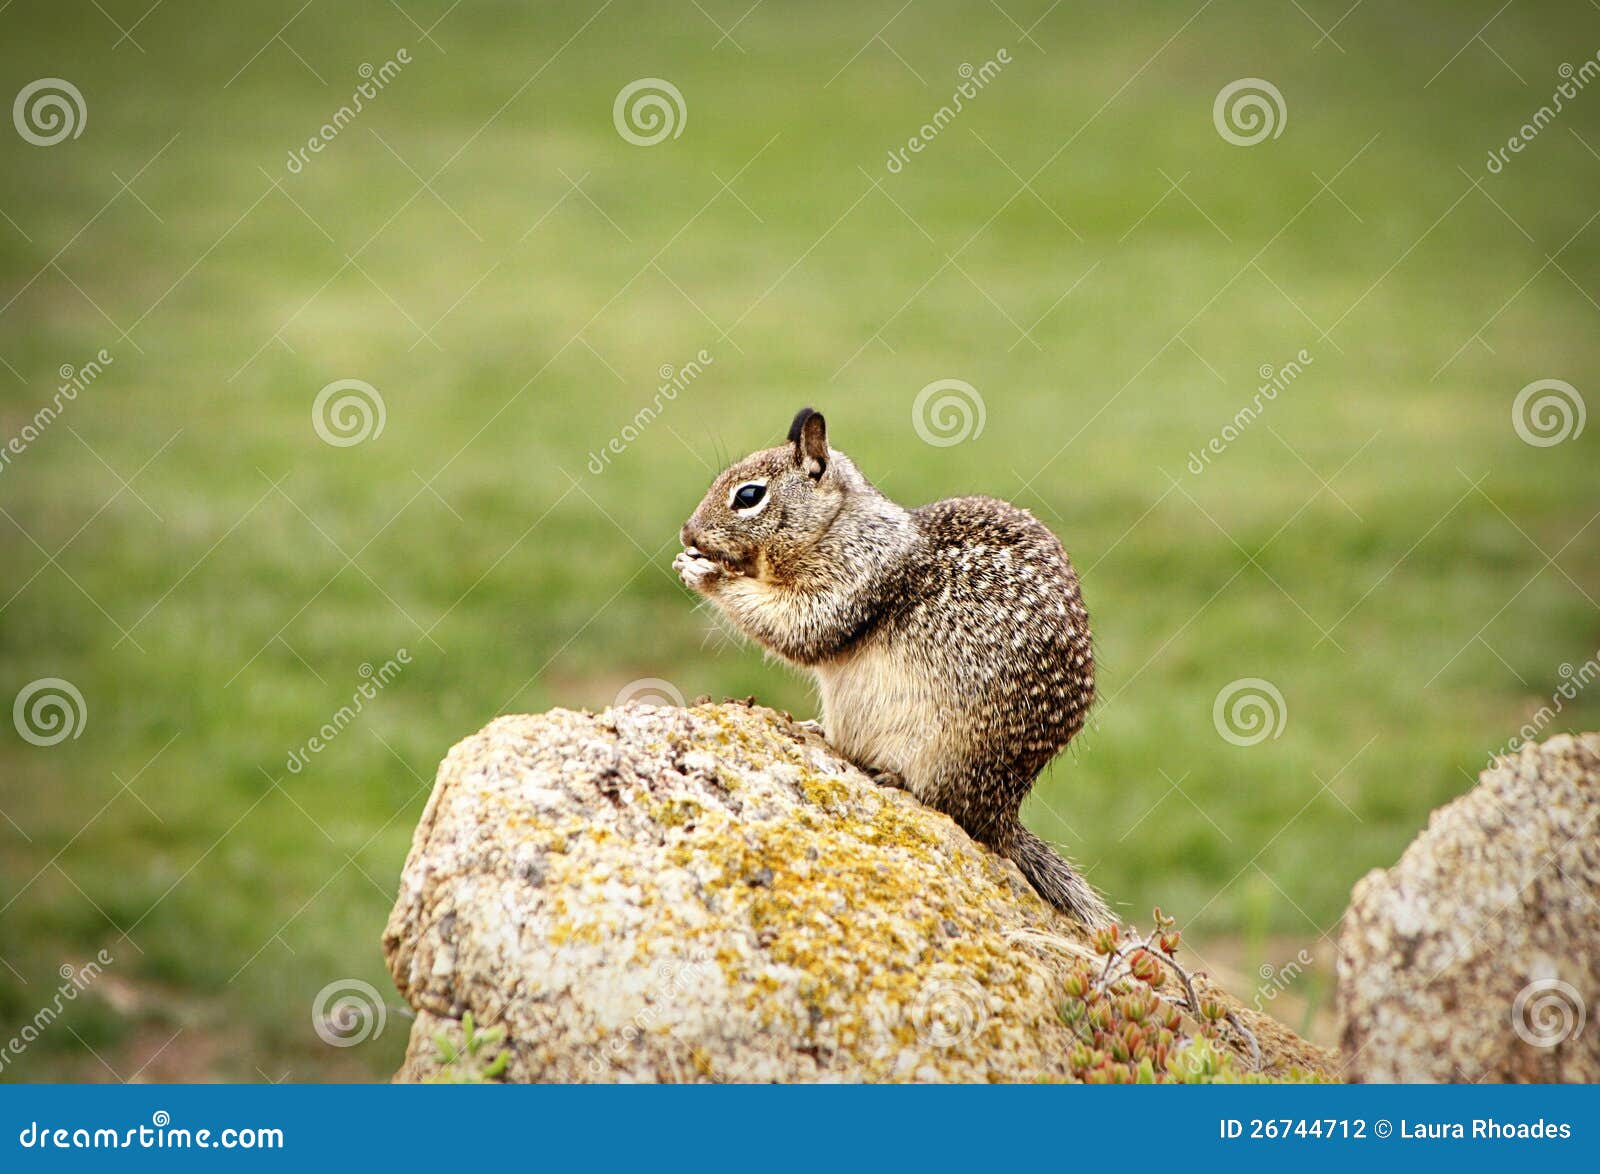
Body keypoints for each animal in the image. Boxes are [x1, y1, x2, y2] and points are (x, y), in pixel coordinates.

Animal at [672, 407, 1110, 926]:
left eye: (749, 496)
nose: (687, 534)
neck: (836, 525)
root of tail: (1002, 815)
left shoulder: (852, 576)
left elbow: (797, 626)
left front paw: (706, 572)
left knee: (940, 803)